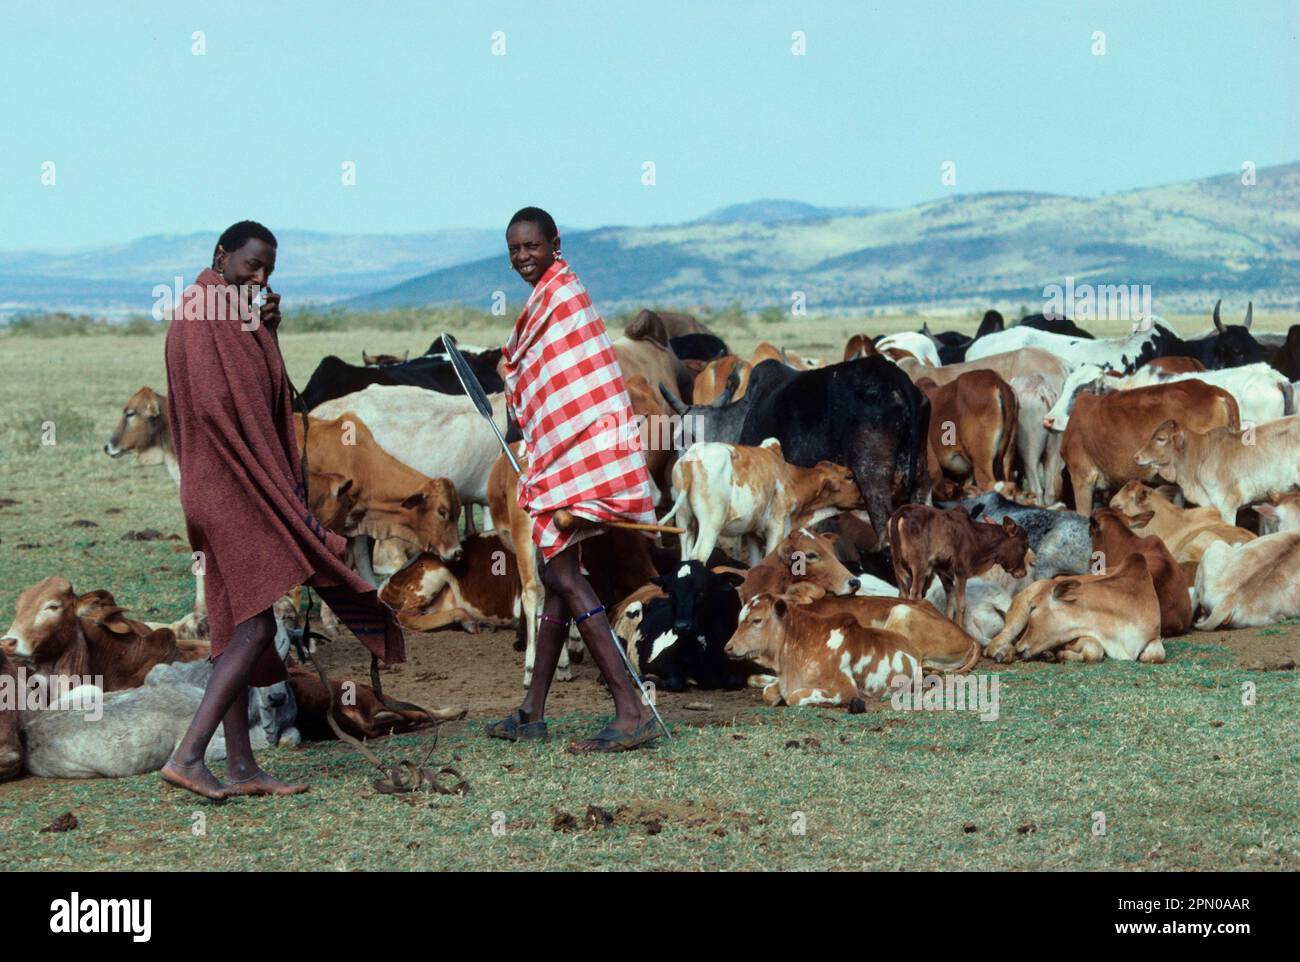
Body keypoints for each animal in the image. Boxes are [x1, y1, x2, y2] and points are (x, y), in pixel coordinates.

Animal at [662, 439, 864, 564]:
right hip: (711, 525)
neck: (790, 479)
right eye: (849, 476)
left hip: (685, 521)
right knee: (698, 556)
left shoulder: (753, 534)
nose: (864, 498)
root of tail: (690, 457)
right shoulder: (777, 528)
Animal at [888, 505, 1031, 628]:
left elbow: (950, 604)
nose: (1023, 572)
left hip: (899, 567)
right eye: (1024, 545)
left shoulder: (944, 574)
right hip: (919, 567)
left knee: (902, 593)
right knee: (915, 594)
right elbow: (961, 605)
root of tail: (902, 511)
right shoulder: (960, 572)